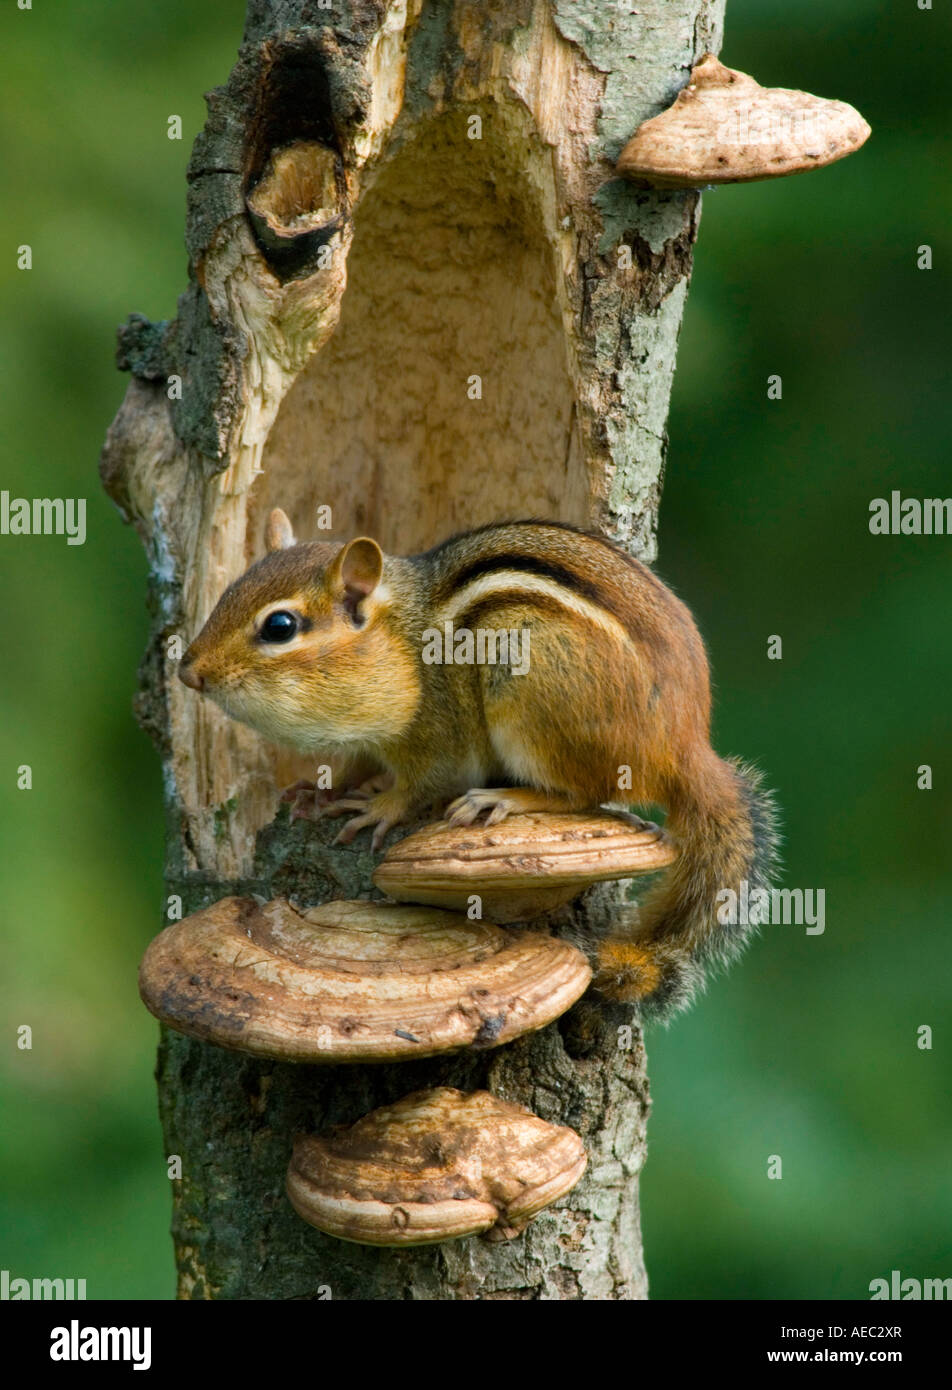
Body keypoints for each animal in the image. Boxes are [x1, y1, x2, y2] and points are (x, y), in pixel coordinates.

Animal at [179, 511, 778, 1019]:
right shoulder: (369, 741)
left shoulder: (438, 728)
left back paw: (504, 797)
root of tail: (686, 748)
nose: (188, 672)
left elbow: (424, 781)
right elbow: (353, 765)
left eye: (279, 626)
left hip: (531, 683)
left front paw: (379, 809)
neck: (400, 641)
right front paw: (319, 792)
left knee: (581, 795)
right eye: (227, 593)